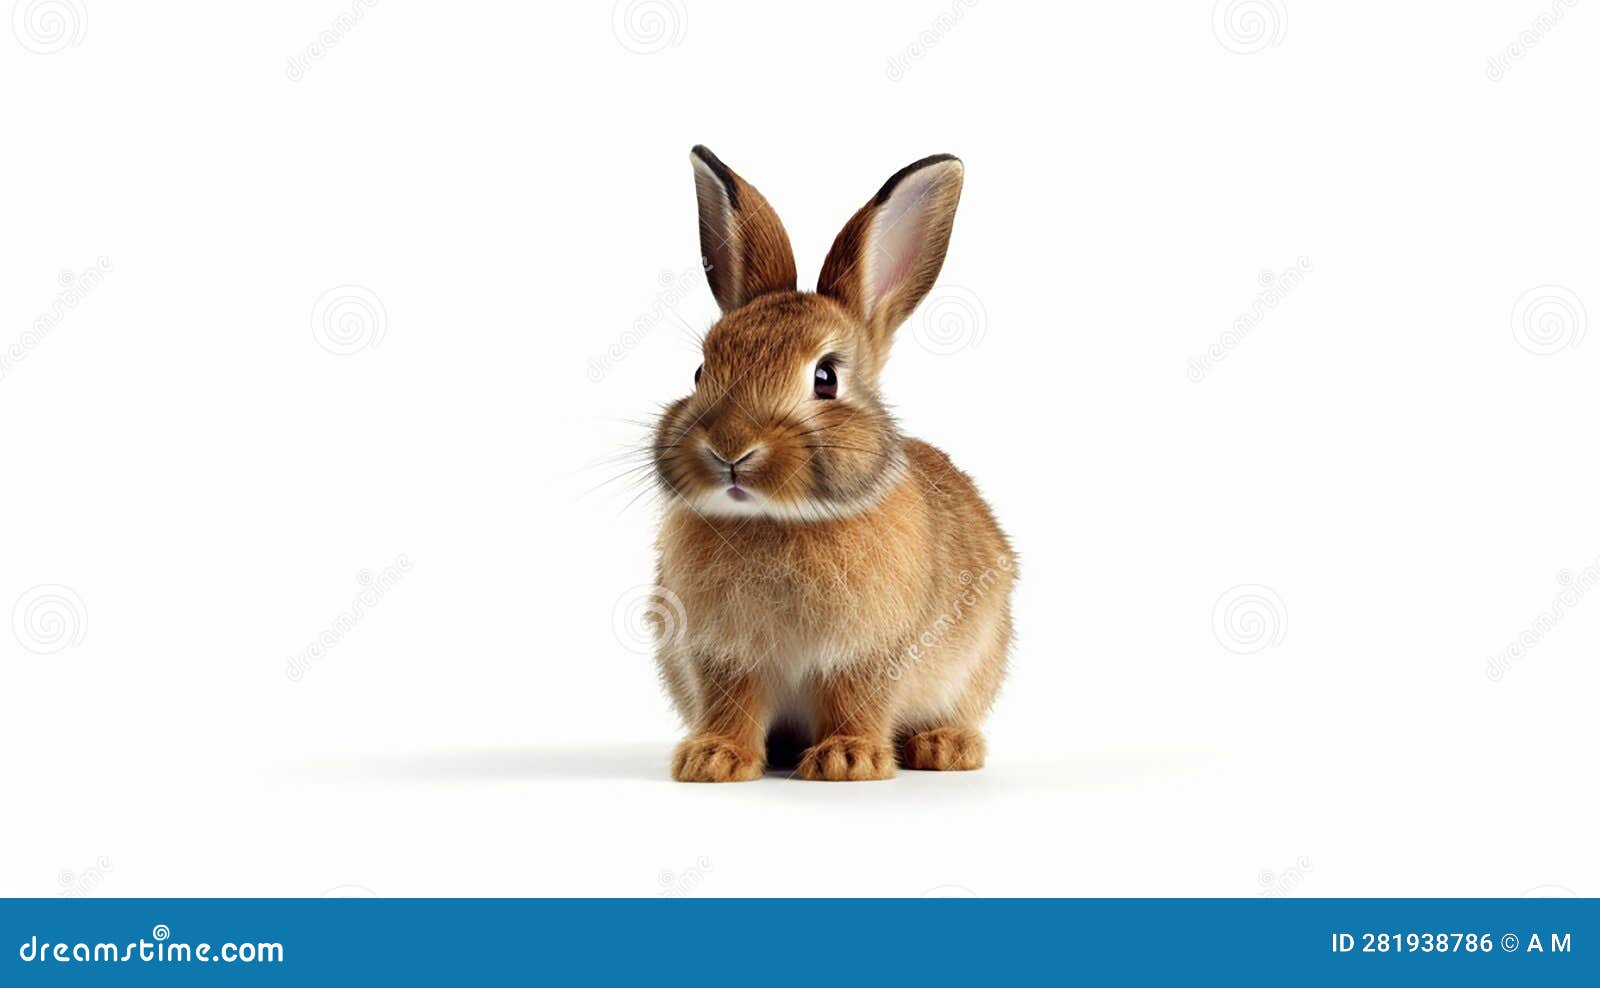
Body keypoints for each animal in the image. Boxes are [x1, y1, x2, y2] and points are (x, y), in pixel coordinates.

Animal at [650, 146, 1015, 782]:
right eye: (700, 372)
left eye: (826, 378)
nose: (730, 449)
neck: (779, 521)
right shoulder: (719, 653)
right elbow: (731, 702)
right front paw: (714, 759)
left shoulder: (870, 651)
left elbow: (855, 698)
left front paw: (848, 759)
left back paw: (944, 747)